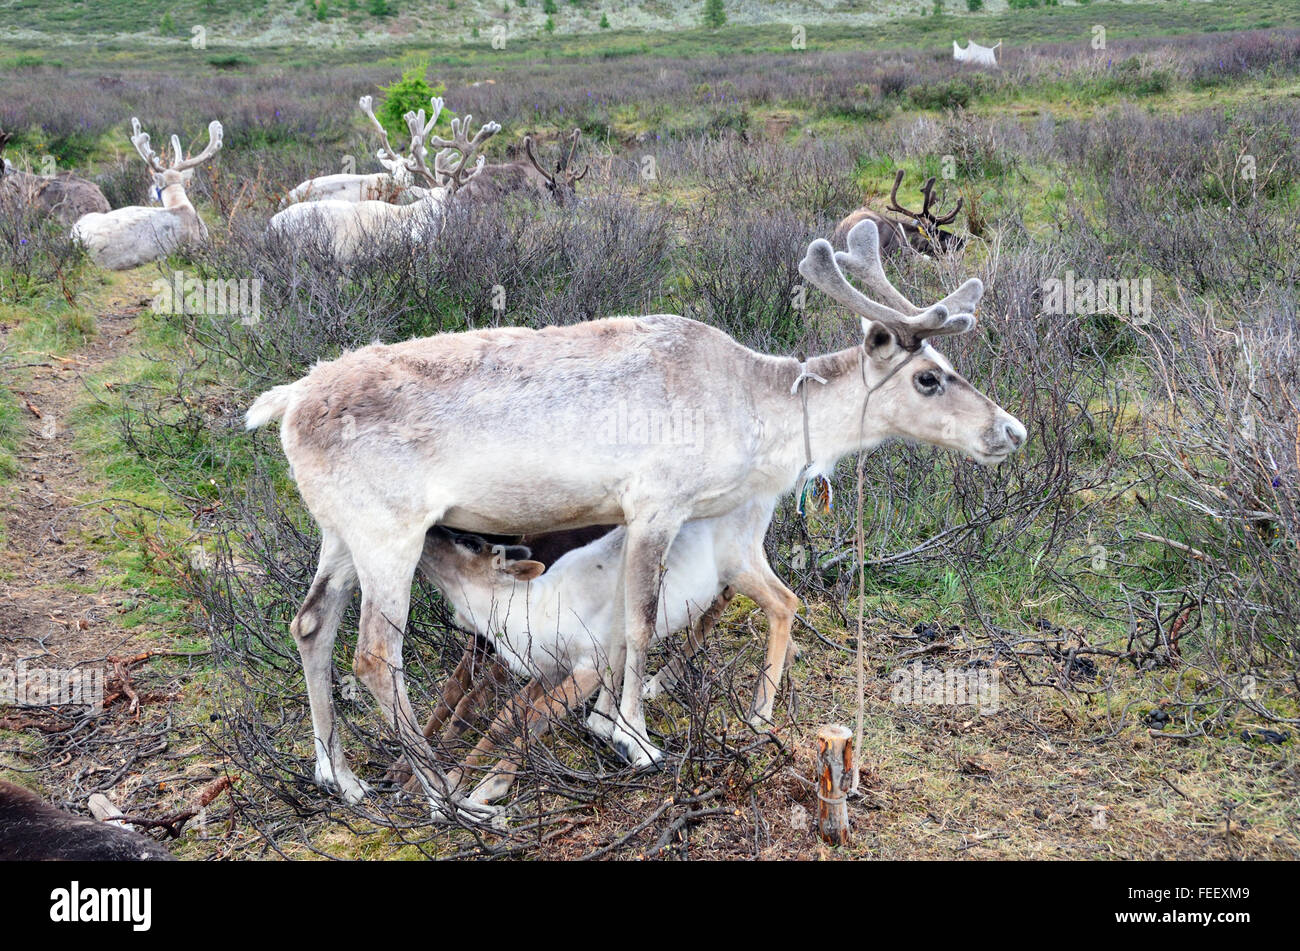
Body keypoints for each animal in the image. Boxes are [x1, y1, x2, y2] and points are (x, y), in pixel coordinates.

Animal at [244, 216, 1027, 817]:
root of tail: (289, 400)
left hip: (339, 533)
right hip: (391, 533)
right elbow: (643, 620)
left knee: (310, 623)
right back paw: (444, 797)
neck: (757, 410)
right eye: (928, 378)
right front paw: (633, 734)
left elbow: (634, 626)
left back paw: (340, 777)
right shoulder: (655, 503)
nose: (1011, 430)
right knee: (375, 652)